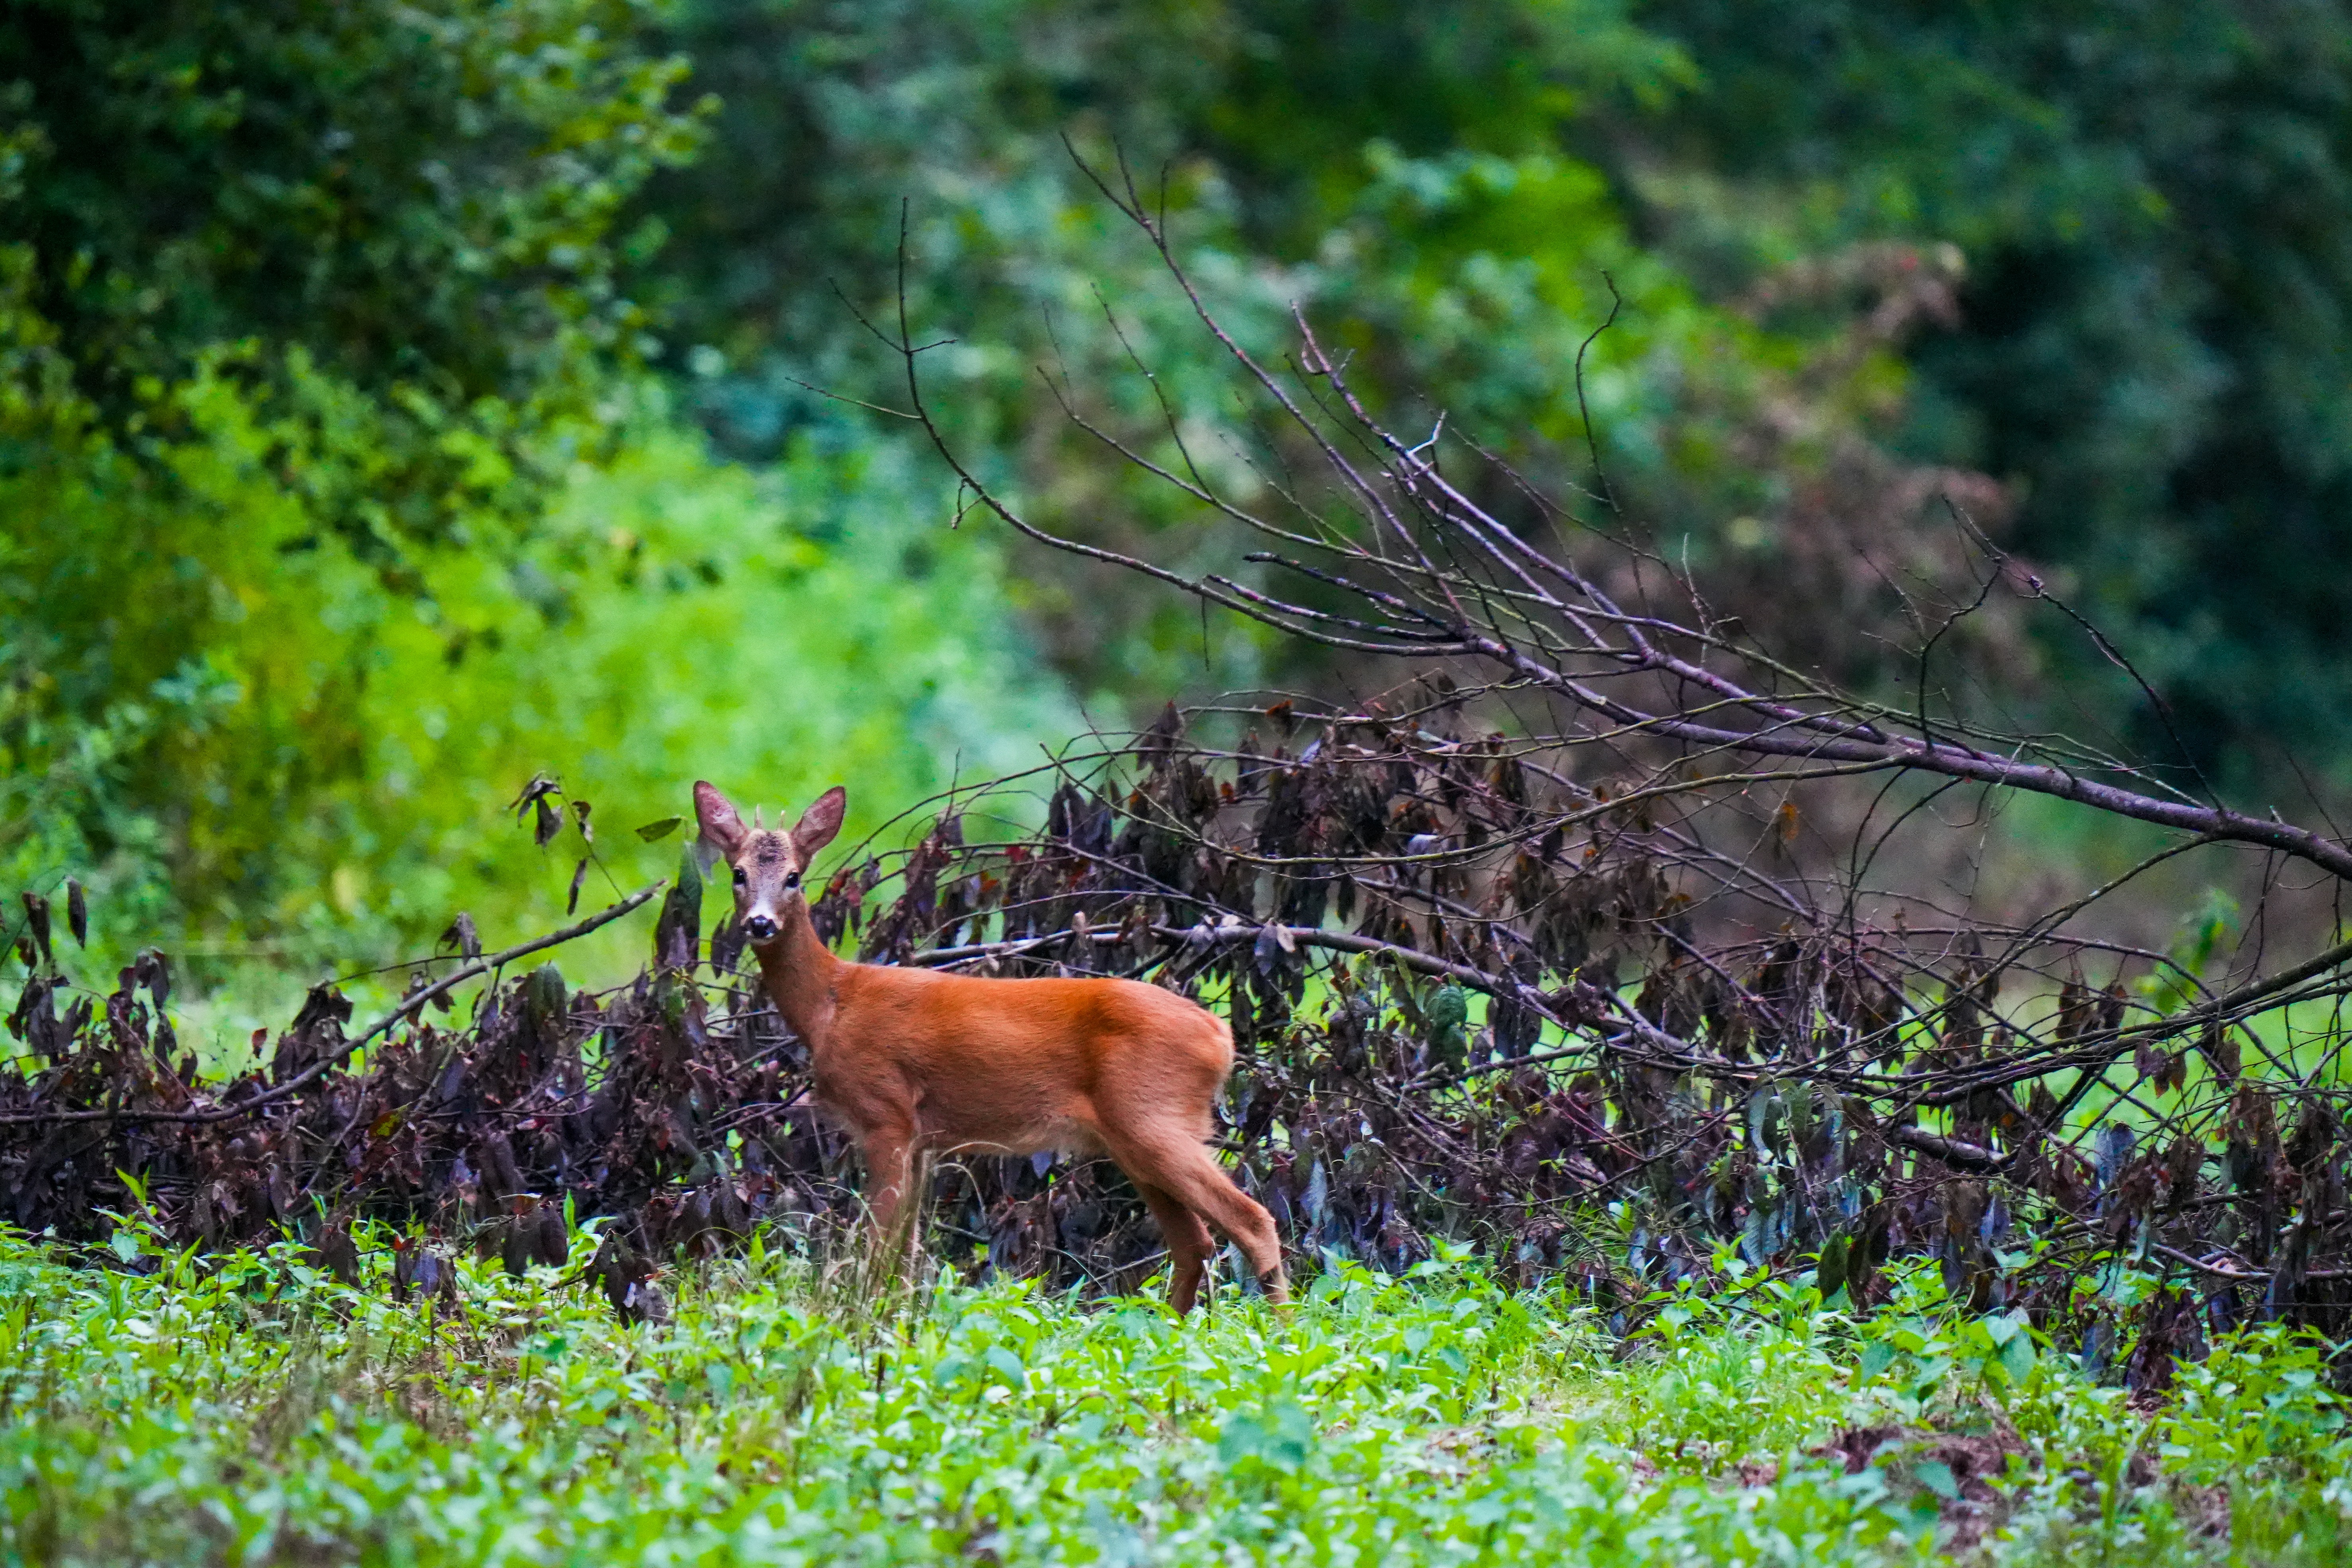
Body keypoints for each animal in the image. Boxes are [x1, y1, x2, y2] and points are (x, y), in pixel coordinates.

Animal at [695, 780, 1289, 1313]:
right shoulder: (923, 1140)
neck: (832, 1004)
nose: (761, 923)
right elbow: (906, 1255)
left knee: (1252, 1221)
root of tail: (1221, 1036)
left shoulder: (887, 1114)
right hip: (1135, 1137)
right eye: (738, 873)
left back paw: (1279, 1333)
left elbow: (880, 1248)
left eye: (794, 876)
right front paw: (894, 1323)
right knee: (1194, 1243)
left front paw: (862, 1319)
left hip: (1154, 1119)